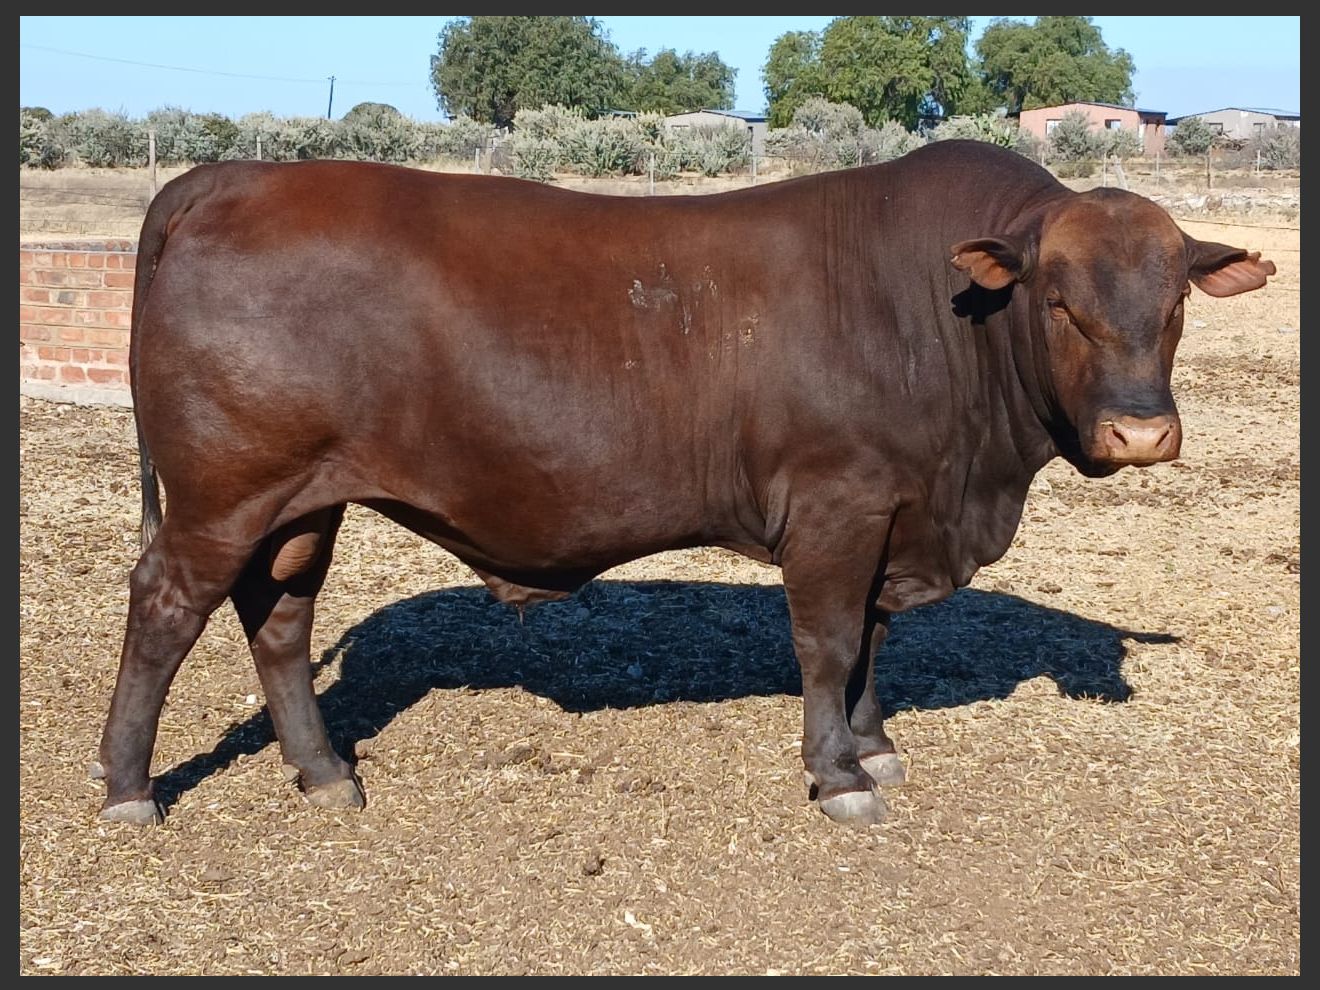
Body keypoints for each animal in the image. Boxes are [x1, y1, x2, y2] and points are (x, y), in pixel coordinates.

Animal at [94, 140, 1275, 827]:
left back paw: (325, 771)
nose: (1142, 431)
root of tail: (229, 173)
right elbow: (828, 641)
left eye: (1176, 301)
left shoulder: (894, 514)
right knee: (165, 608)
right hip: (222, 493)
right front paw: (839, 776)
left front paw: (875, 746)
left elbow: (875, 639)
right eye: (1060, 302)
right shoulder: (839, 503)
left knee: (279, 617)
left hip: (302, 498)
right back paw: (129, 787)